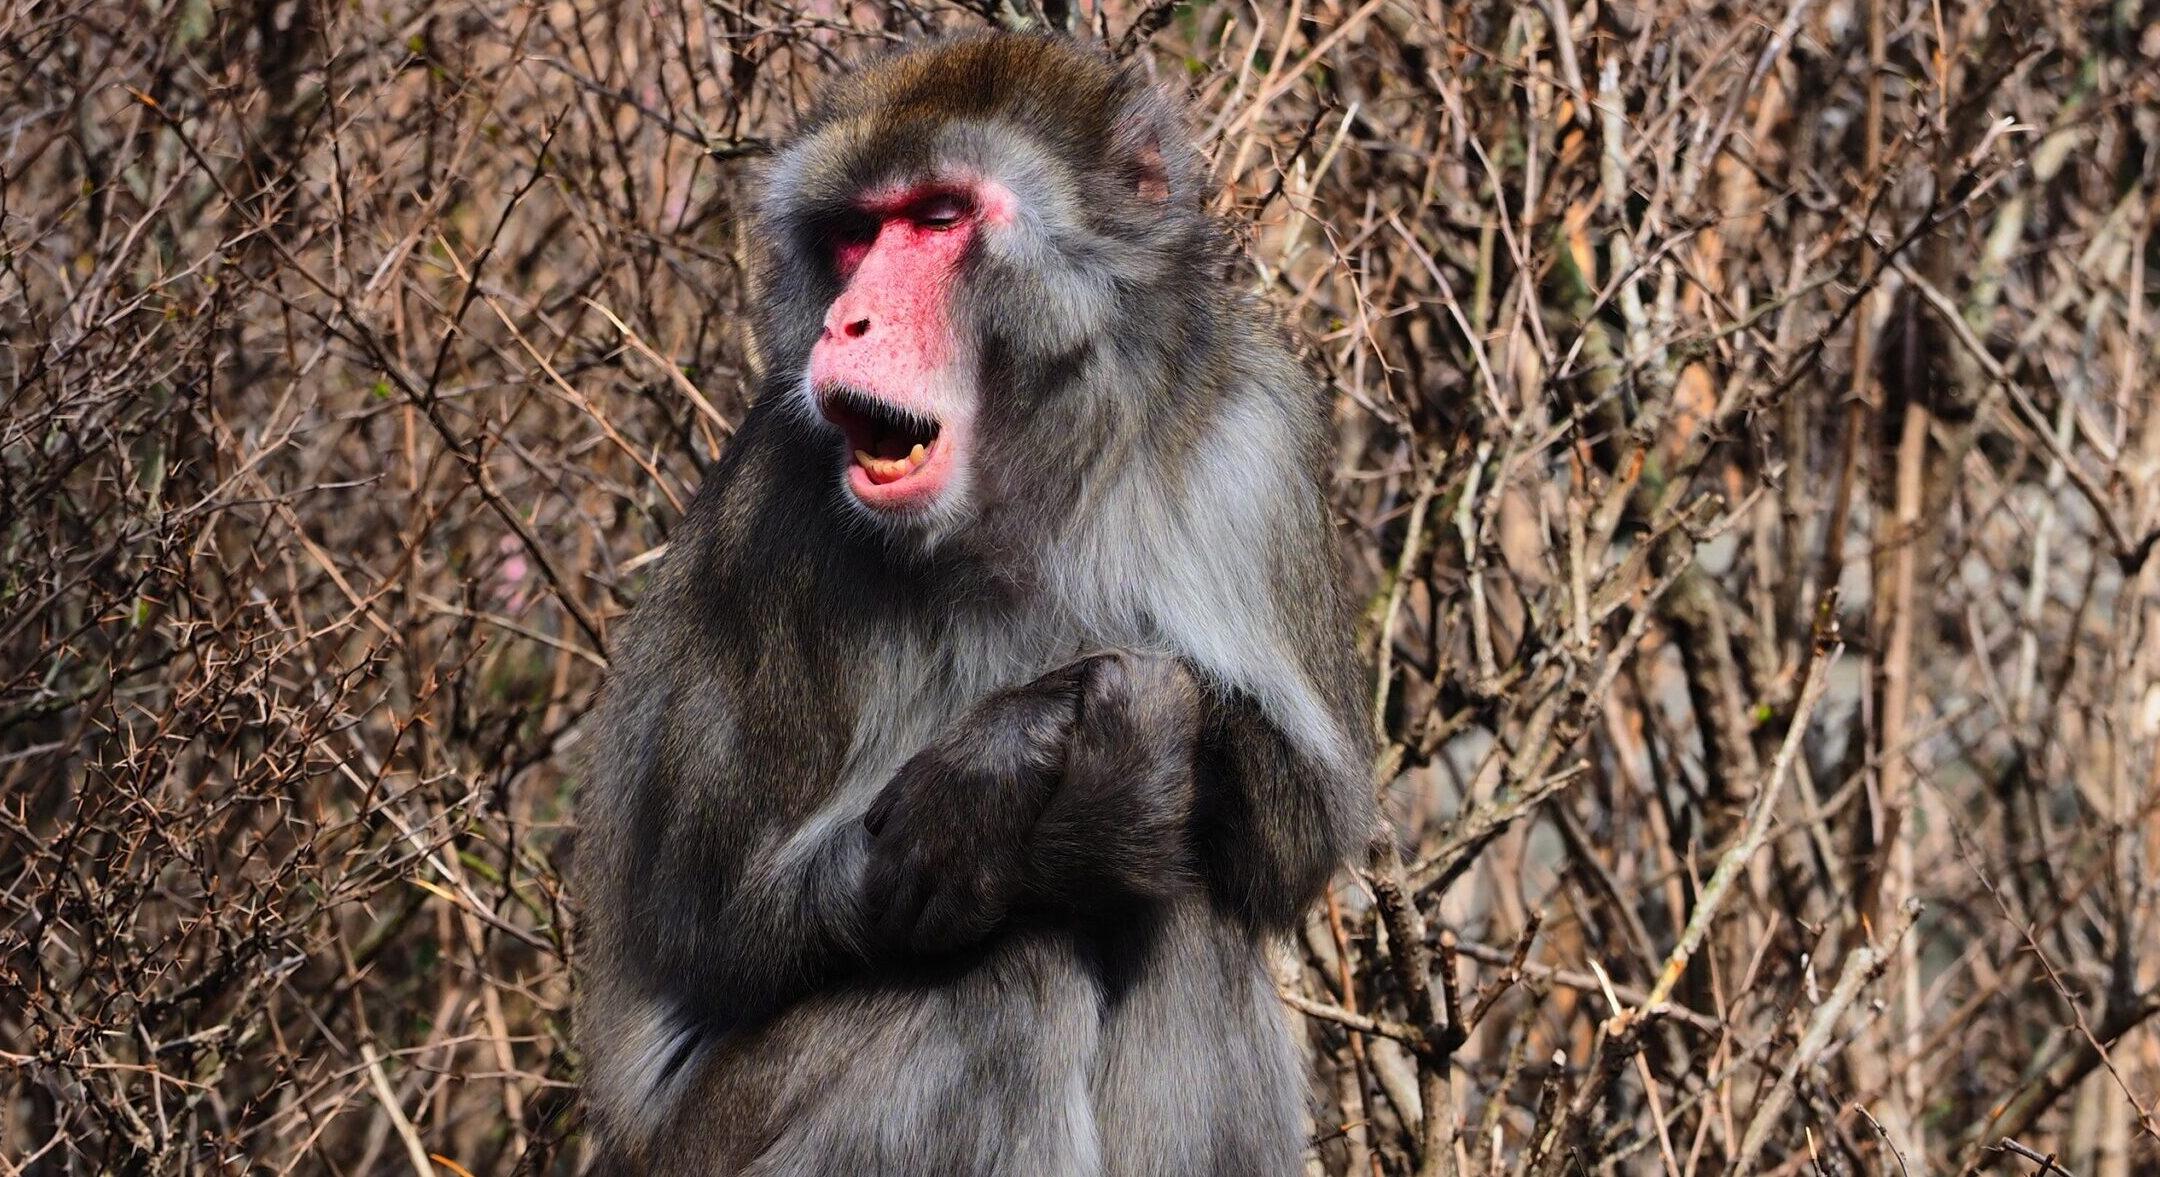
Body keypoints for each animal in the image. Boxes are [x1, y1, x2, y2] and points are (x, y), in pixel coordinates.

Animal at [576, 34, 1373, 1176]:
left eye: (939, 217)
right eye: (856, 233)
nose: (846, 319)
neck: (1022, 475)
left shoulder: (1255, 442)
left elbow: (1297, 839)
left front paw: (1066, 731)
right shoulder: (774, 520)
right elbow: (715, 929)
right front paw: (1038, 804)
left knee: (1189, 914)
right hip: (705, 1144)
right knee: (1002, 980)